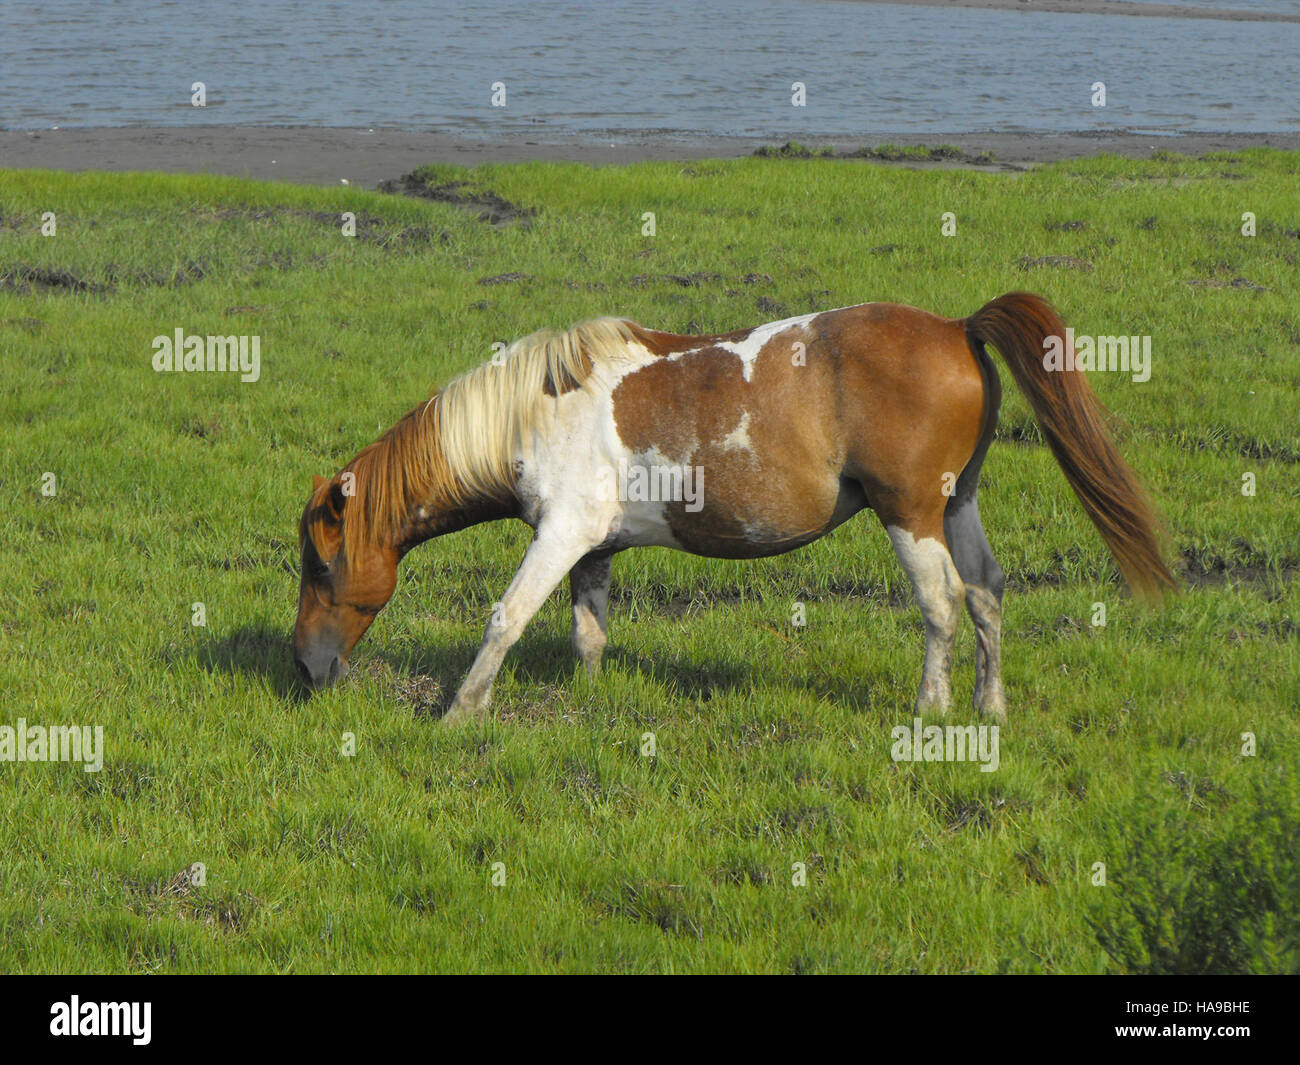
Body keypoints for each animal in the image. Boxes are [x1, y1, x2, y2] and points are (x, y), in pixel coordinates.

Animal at [293, 292, 1175, 723]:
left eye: (323, 564)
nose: (305, 667)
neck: (533, 412)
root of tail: (959, 329)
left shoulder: (561, 533)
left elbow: (505, 618)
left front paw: (461, 712)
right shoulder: (595, 548)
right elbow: (588, 632)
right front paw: (587, 701)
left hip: (911, 513)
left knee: (942, 603)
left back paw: (933, 707)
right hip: (959, 503)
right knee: (988, 593)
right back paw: (990, 708)